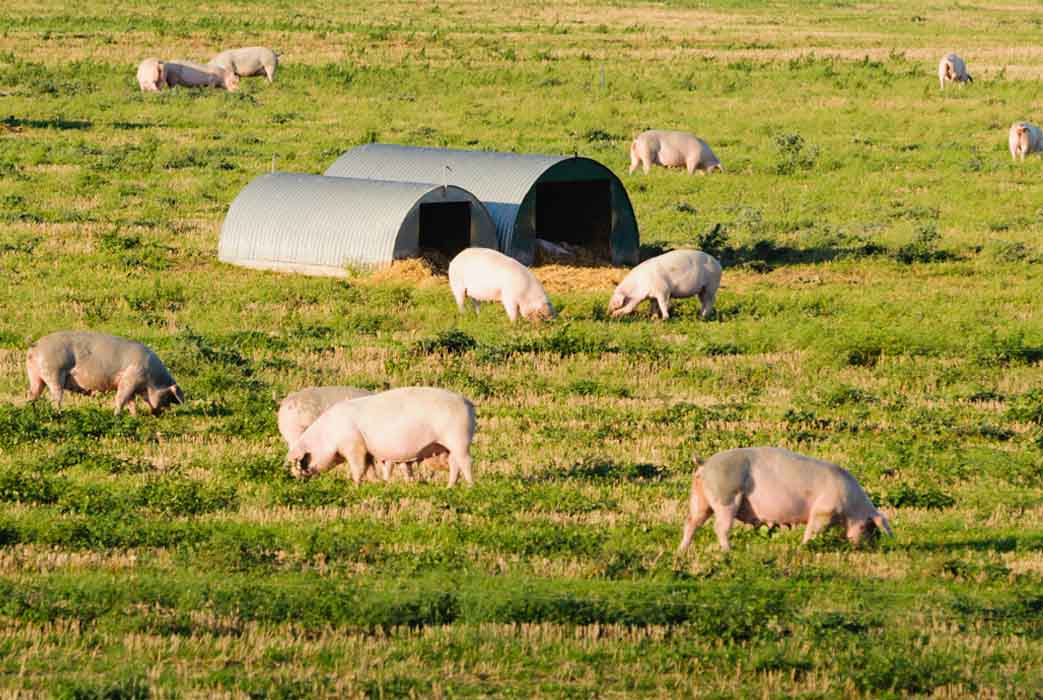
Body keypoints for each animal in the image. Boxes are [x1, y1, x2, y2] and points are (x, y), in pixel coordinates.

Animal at [26, 331, 183, 416]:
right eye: (167, 396)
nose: (160, 413)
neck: (151, 379)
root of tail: (34, 347)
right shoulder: (129, 379)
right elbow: (121, 399)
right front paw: (116, 416)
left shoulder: (130, 384)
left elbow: (131, 402)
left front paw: (134, 416)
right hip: (54, 373)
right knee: (55, 399)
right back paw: (58, 414)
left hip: (35, 376)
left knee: (32, 394)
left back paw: (29, 410)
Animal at [286, 387, 476, 487]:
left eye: (302, 462)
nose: (298, 481)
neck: (328, 435)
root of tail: (468, 403)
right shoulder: (367, 449)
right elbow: (369, 466)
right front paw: (376, 483)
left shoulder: (353, 445)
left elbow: (357, 467)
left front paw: (355, 485)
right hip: (449, 445)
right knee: (454, 463)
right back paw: (449, 487)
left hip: (459, 438)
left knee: (466, 461)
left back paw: (470, 486)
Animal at [677, 447, 893, 553]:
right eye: (866, 527)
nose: (866, 548)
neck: (852, 506)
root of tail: (705, 464)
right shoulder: (823, 511)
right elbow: (812, 530)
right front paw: (803, 547)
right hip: (726, 496)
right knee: (720, 527)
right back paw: (728, 551)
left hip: (701, 498)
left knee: (691, 522)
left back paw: (682, 550)